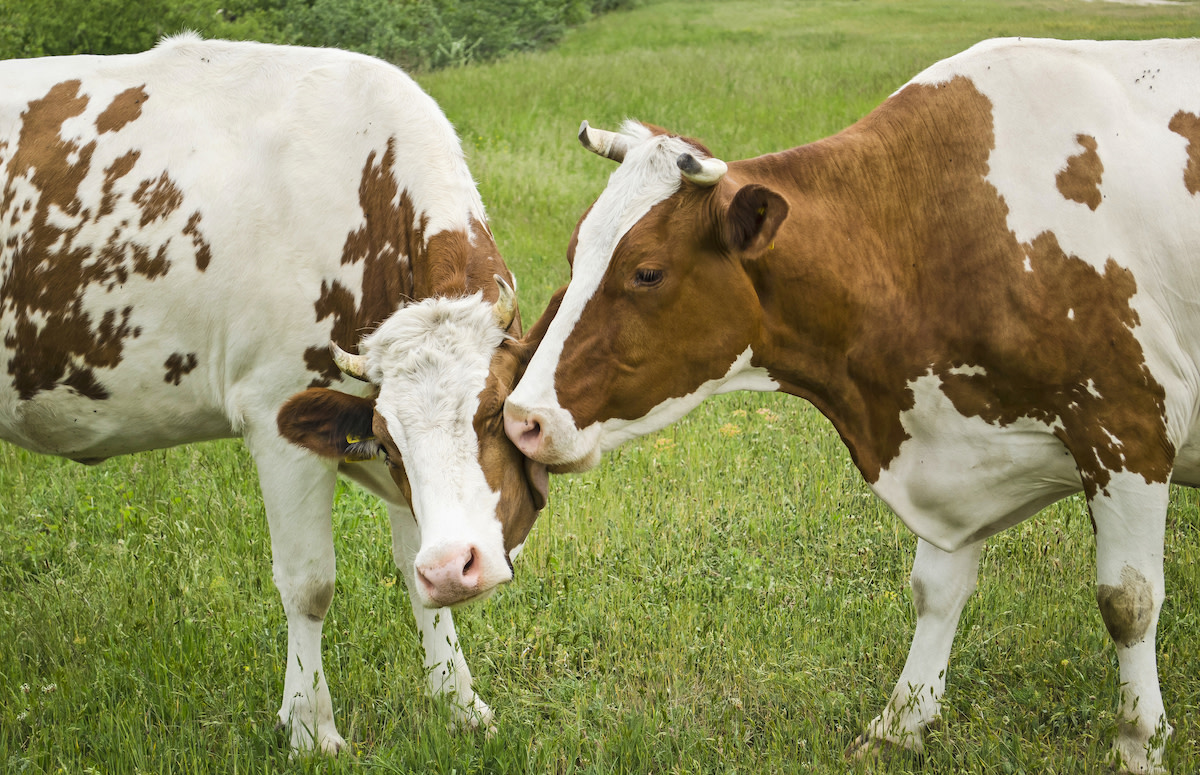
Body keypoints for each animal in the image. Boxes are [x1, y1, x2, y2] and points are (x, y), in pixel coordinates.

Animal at [0, 33, 547, 755]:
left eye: (491, 417)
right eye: (391, 440)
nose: (465, 566)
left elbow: (412, 566)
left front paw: (459, 702)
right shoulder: (279, 411)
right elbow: (309, 583)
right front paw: (312, 727)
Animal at [503, 37, 1200, 773]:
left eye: (647, 272)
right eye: (575, 253)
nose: (523, 419)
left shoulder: (1128, 430)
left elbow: (1128, 599)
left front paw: (1140, 742)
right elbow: (935, 589)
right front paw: (900, 723)